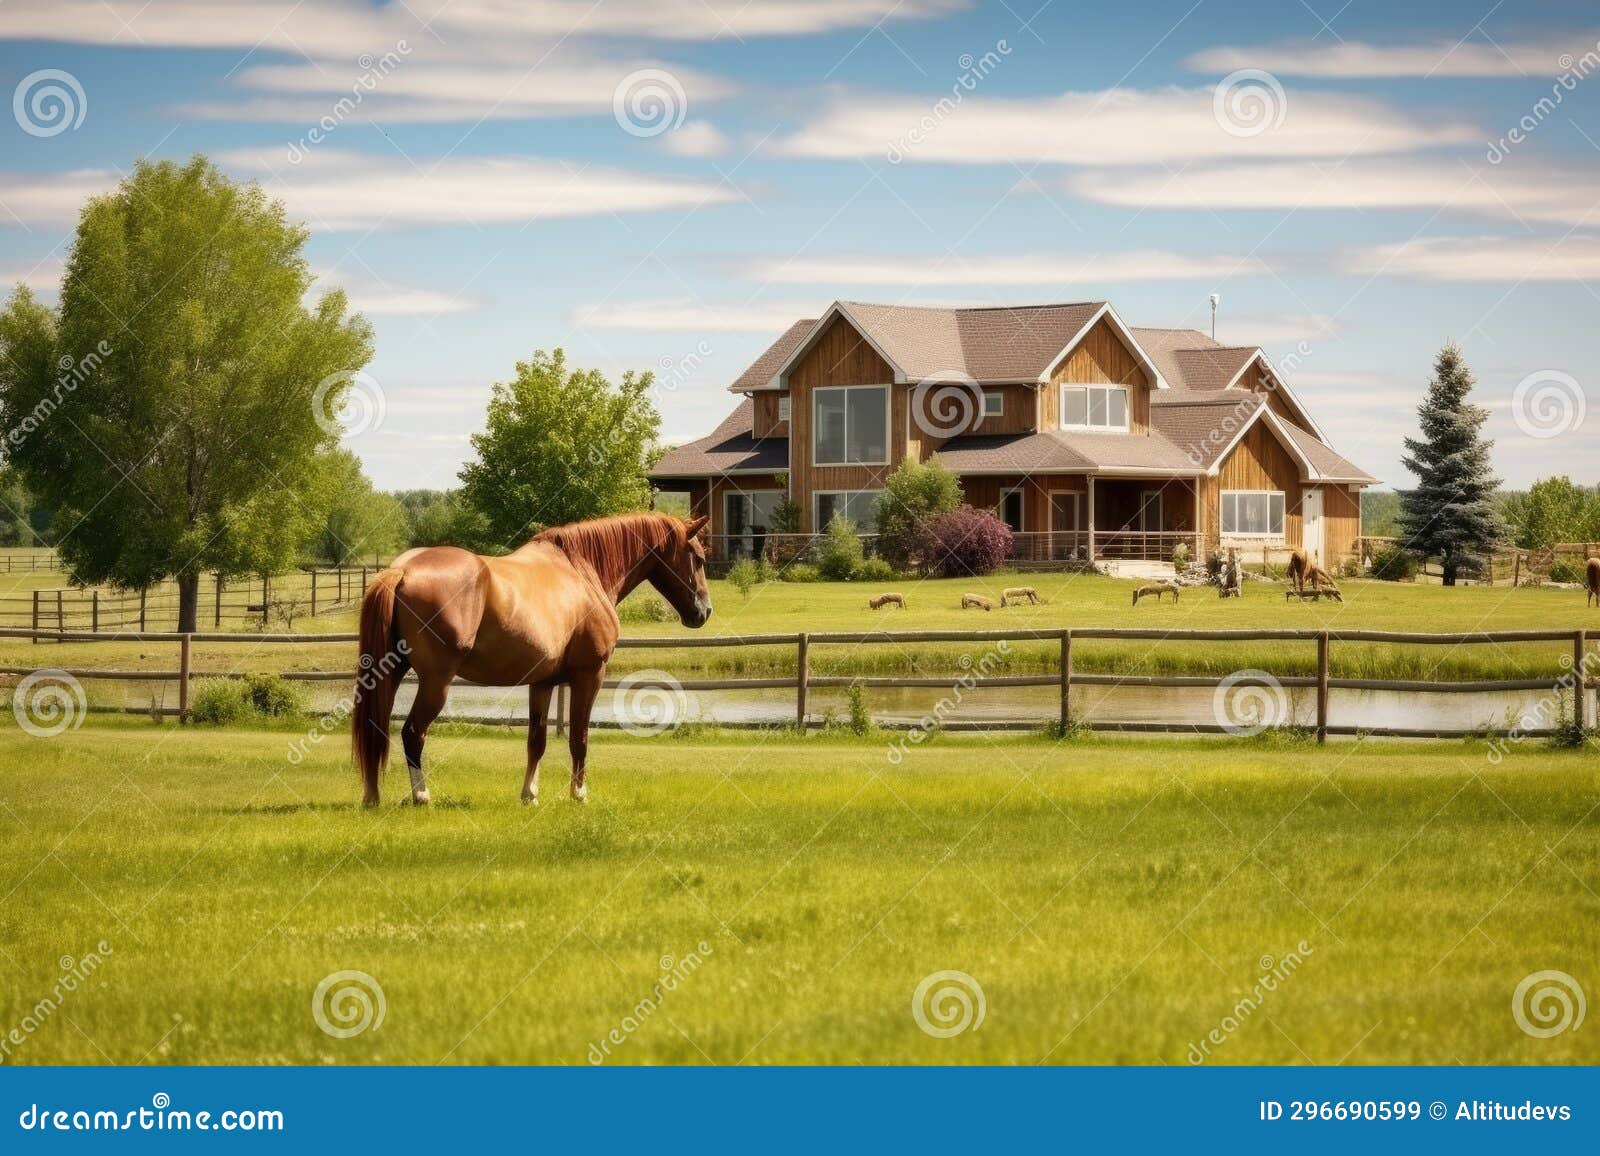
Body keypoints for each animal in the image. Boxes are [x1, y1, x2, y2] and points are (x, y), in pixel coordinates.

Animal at [351, 512, 712, 808]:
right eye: (698, 558)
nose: (704, 612)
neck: (582, 572)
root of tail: (402, 571)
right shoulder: (590, 675)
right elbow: (579, 738)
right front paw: (579, 794)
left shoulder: (542, 682)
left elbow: (536, 742)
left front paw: (529, 795)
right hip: (435, 682)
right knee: (412, 733)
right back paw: (421, 795)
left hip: (391, 674)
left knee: (376, 728)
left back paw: (371, 796)